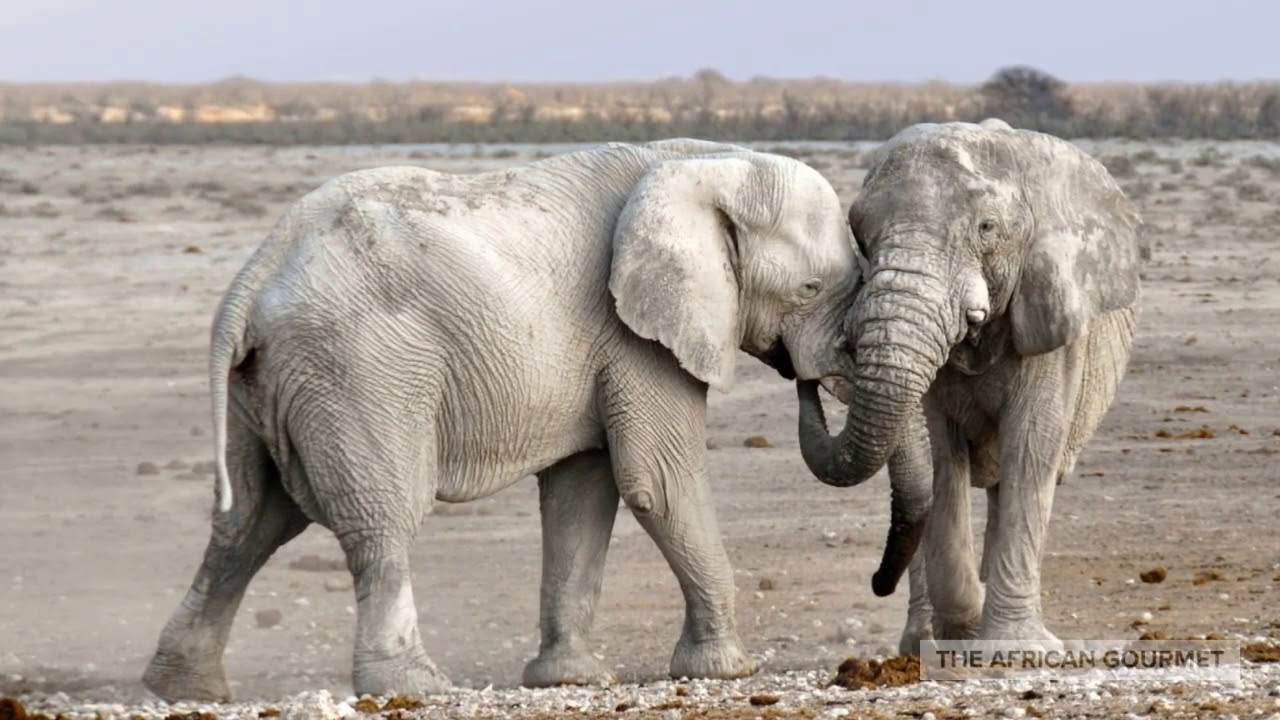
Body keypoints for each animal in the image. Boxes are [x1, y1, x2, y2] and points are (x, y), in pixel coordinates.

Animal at [141, 138, 931, 702]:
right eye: (811, 289)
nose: (808, 381)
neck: (705, 163)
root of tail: (254, 275)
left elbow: (584, 493)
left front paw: (573, 679)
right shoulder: (634, 334)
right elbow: (658, 480)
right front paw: (727, 670)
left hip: (272, 383)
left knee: (249, 522)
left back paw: (185, 690)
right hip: (358, 370)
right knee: (379, 518)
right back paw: (417, 687)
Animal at [796, 120, 1147, 649]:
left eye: (987, 228)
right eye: (860, 233)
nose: (877, 583)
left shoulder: (1050, 314)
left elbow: (1032, 445)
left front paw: (1014, 648)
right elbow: (941, 455)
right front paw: (964, 630)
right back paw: (924, 639)